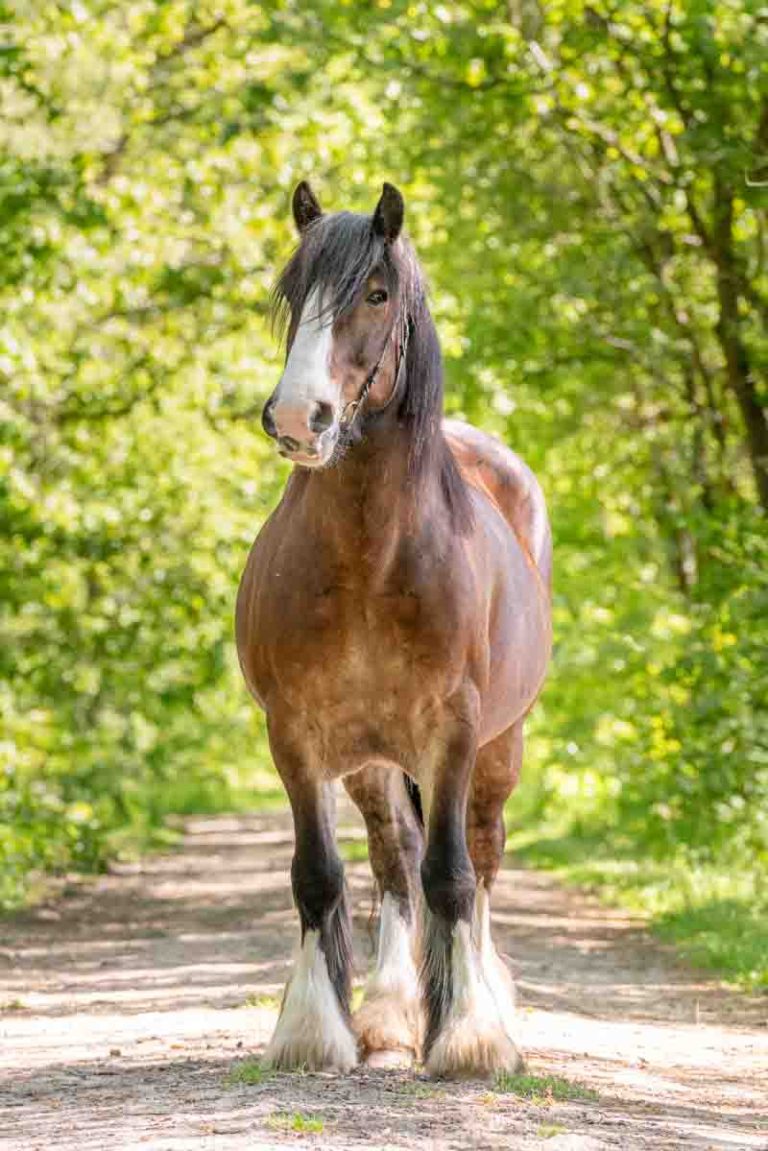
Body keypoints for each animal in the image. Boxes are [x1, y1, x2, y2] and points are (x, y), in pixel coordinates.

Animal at [235, 181, 552, 1077]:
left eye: (375, 293)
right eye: (292, 292)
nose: (297, 418)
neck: (369, 559)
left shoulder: (455, 729)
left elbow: (453, 875)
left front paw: (472, 1036)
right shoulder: (296, 734)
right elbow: (321, 874)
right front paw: (314, 1029)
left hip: (500, 747)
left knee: (479, 853)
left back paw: (481, 1002)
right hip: (372, 762)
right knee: (391, 858)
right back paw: (387, 1012)